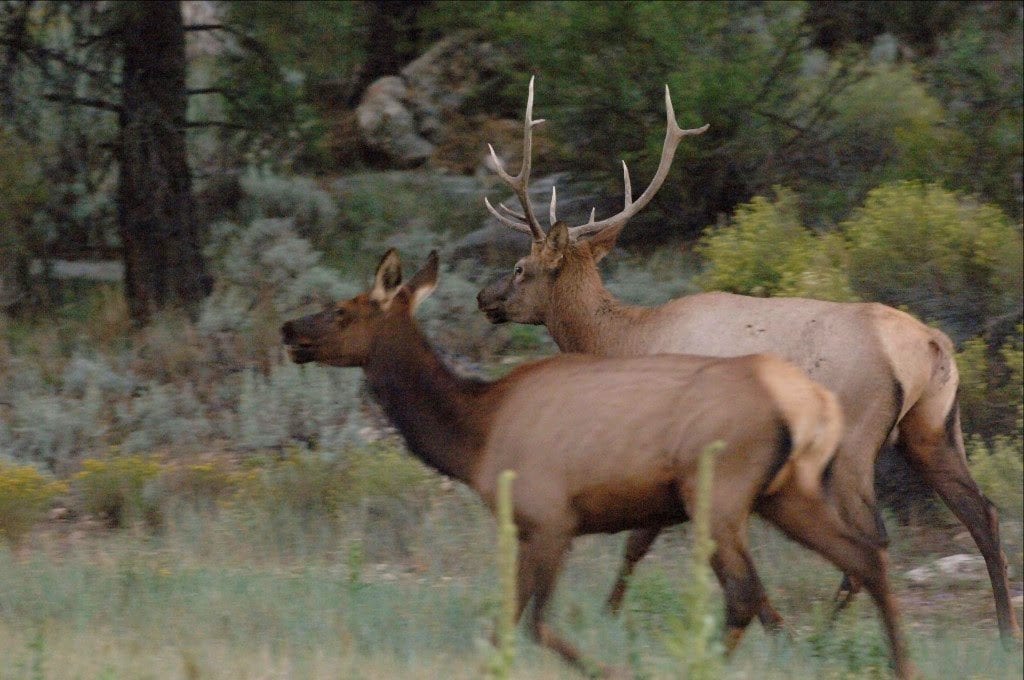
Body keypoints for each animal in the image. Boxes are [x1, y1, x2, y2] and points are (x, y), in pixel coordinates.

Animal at [281, 248, 915, 678]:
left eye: (343, 311)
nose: (289, 328)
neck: (472, 436)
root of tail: (812, 403)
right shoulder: (530, 525)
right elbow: (507, 626)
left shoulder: (551, 517)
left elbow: (532, 624)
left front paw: (614, 667)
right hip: (787, 492)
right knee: (865, 558)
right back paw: (898, 666)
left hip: (719, 493)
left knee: (746, 594)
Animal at [475, 77, 1021, 645]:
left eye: (521, 267)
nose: (483, 297)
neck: (622, 339)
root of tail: (932, 343)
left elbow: (641, 541)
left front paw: (610, 615)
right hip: (933, 426)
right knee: (983, 514)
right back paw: (1005, 633)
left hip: (856, 435)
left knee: (874, 536)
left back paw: (824, 634)